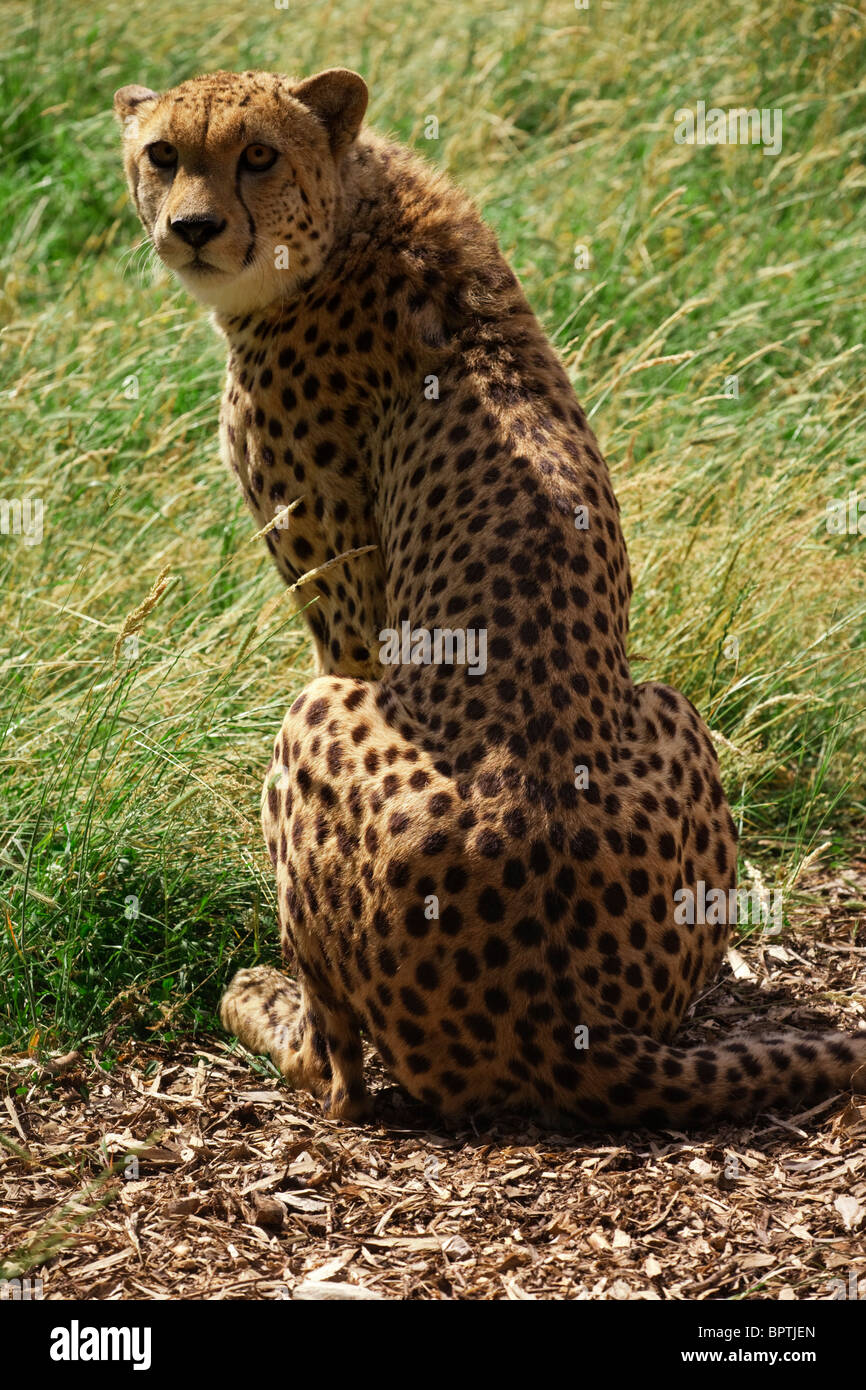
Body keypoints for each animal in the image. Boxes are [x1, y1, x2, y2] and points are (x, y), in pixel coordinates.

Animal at [115, 66, 866, 1127]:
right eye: (163, 154)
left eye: (256, 154)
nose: (191, 227)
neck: (354, 210)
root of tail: (563, 1018)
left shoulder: (350, 624)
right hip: (671, 708)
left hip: (315, 712)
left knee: (342, 1080)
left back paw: (260, 1005)